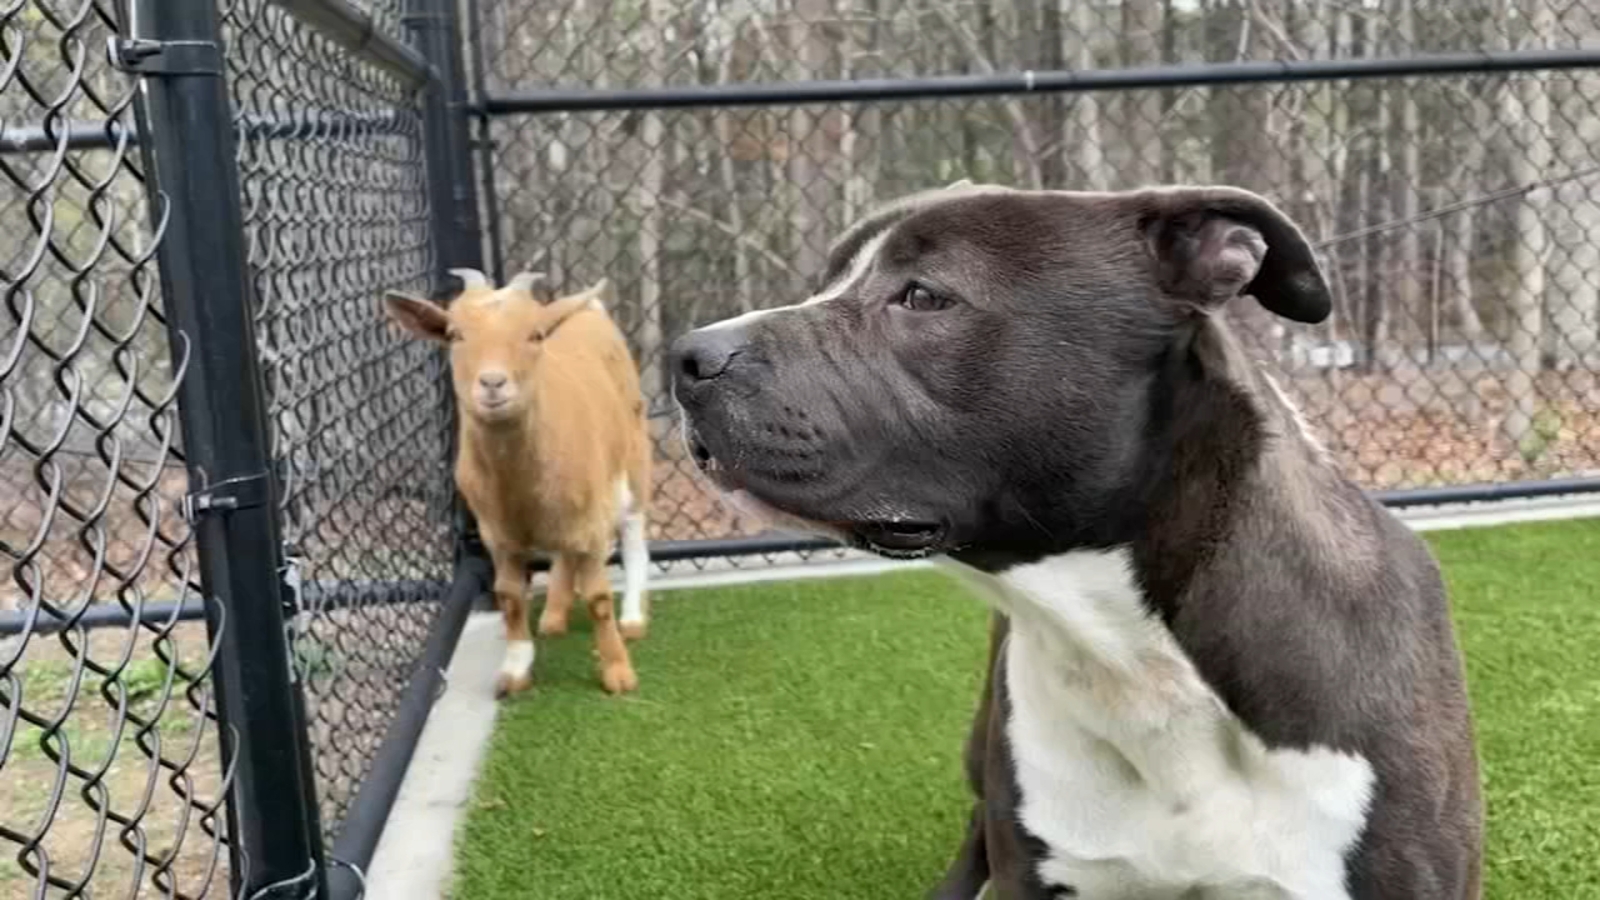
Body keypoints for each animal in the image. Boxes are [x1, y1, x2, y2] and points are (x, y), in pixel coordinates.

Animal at [383, 269, 652, 697]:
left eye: (535, 335)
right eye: (454, 334)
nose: (493, 383)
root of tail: (588, 308)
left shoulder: (591, 524)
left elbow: (597, 598)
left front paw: (618, 673)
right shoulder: (498, 535)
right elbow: (509, 597)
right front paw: (515, 669)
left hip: (634, 460)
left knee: (633, 538)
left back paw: (632, 620)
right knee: (563, 556)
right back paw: (554, 616)